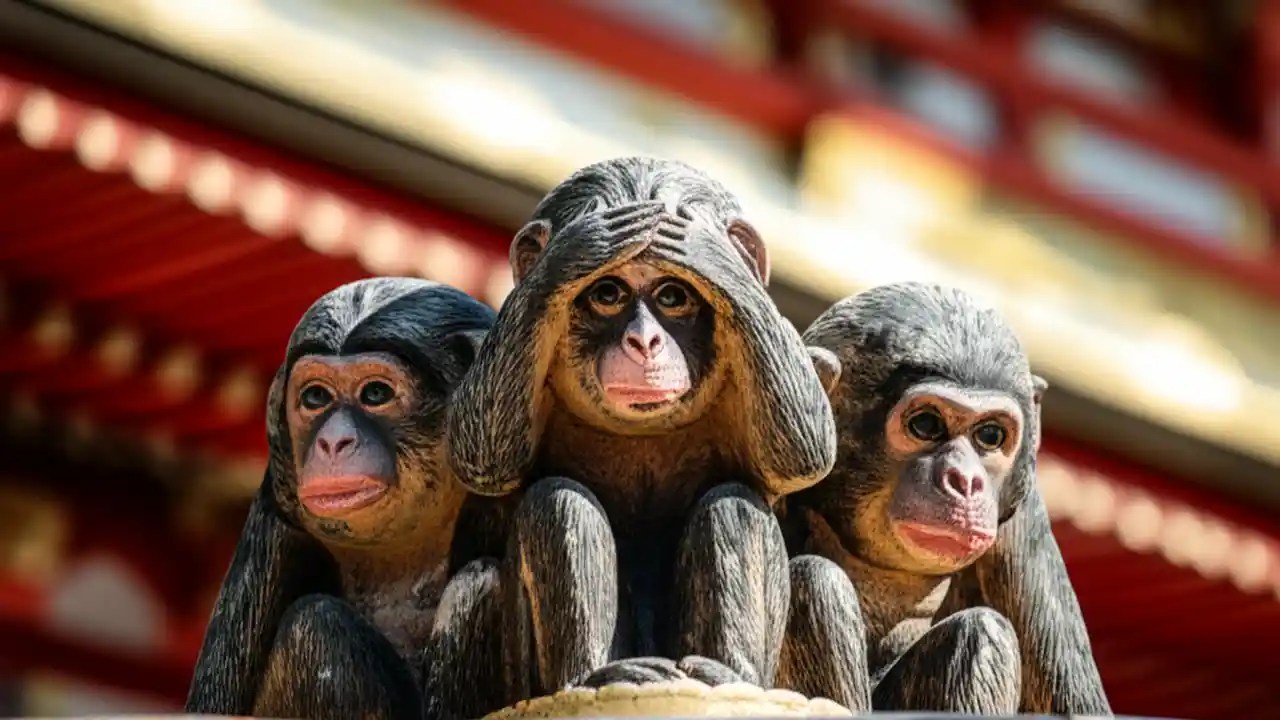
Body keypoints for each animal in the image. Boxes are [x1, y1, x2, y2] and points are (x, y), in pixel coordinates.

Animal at [446, 157, 837, 699]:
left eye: (673, 294)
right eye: (607, 292)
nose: (644, 339)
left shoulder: (799, 356)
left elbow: (802, 448)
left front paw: (711, 253)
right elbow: (480, 451)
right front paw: (577, 248)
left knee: (735, 504)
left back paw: (728, 674)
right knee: (557, 502)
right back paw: (591, 676)